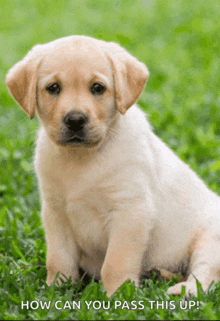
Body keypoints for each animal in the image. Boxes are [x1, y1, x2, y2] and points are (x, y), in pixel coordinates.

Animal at [5, 35, 220, 298]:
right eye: (53, 88)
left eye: (98, 88)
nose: (75, 120)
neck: (82, 158)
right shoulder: (55, 213)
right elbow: (59, 259)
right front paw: (56, 290)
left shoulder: (130, 211)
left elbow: (115, 263)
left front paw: (119, 294)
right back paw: (161, 274)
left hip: (211, 241)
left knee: (206, 275)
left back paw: (183, 290)